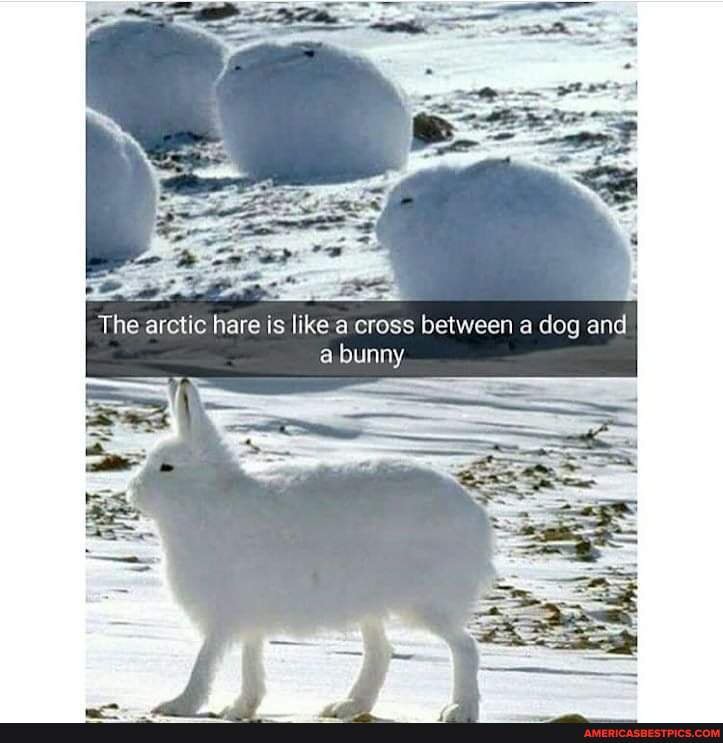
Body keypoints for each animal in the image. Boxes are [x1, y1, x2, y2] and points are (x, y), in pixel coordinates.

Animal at [126, 378, 495, 723]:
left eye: (167, 467)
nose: (132, 491)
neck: (208, 499)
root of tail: (477, 520)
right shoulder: (249, 618)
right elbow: (250, 662)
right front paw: (241, 708)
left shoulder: (223, 614)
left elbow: (205, 662)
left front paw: (177, 705)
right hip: (370, 606)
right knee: (381, 652)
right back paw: (346, 707)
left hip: (425, 602)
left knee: (465, 647)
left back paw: (460, 710)